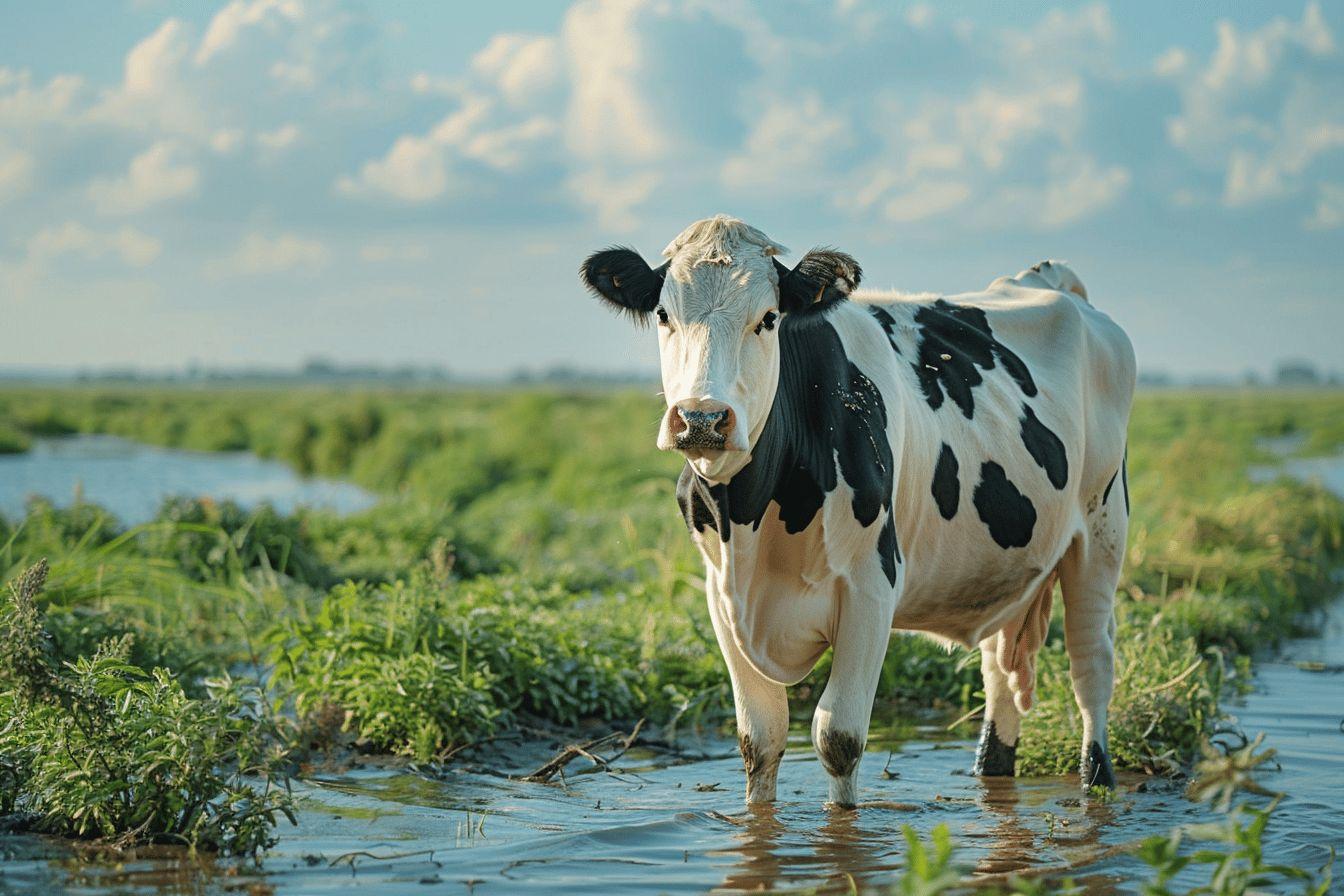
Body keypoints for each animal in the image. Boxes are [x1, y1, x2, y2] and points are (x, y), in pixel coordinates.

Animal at [579, 215, 1136, 808]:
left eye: (769, 318)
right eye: (664, 315)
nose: (702, 419)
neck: (752, 517)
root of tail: (1048, 281)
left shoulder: (872, 587)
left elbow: (838, 737)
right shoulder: (719, 594)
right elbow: (760, 740)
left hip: (1102, 532)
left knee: (1091, 666)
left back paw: (1096, 782)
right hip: (1007, 568)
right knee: (1001, 676)